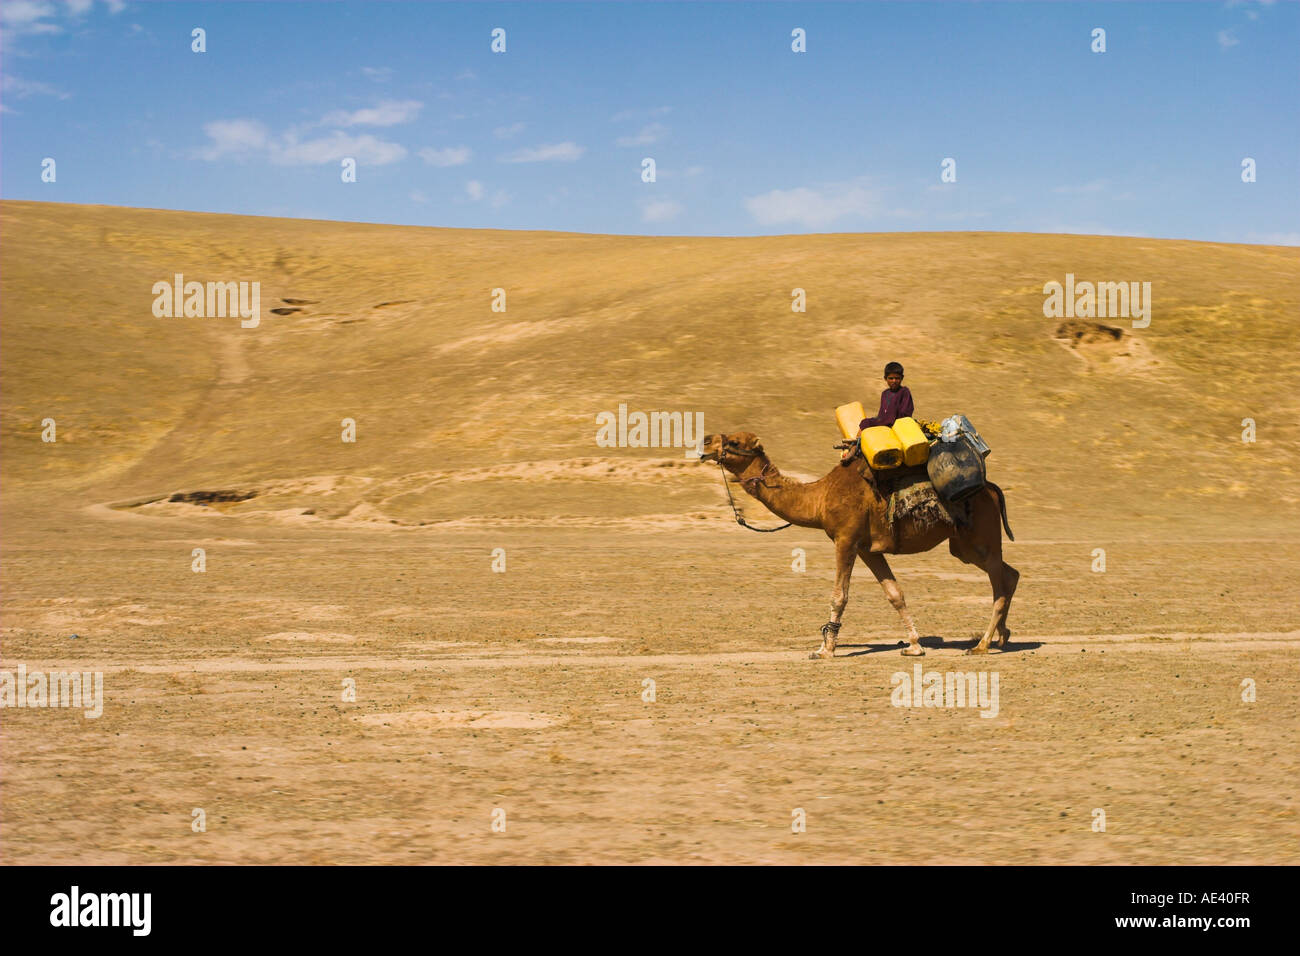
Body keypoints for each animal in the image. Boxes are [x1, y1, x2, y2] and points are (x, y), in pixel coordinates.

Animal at [699, 432, 1018, 659]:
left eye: (734, 441)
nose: (705, 442)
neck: (819, 497)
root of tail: (991, 488)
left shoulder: (845, 539)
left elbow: (839, 596)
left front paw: (825, 649)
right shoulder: (866, 548)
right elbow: (894, 593)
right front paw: (914, 645)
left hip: (982, 536)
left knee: (999, 584)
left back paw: (982, 644)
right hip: (963, 546)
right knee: (1010, 574)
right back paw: (1003, 636)